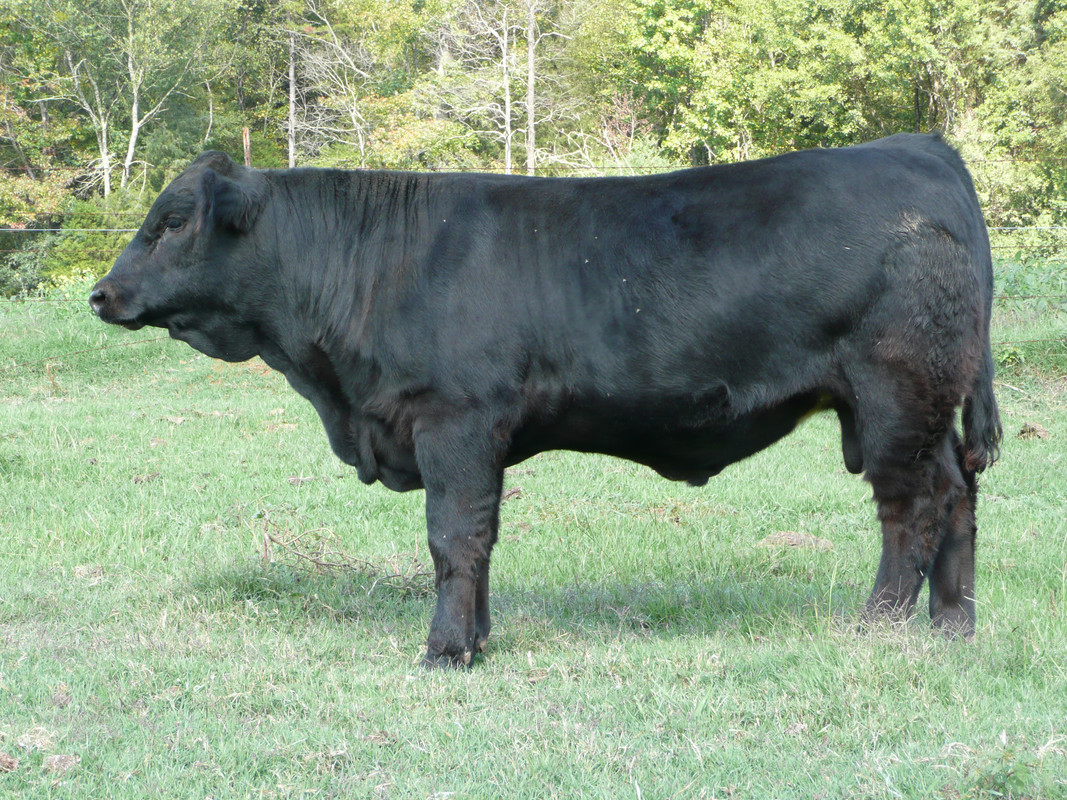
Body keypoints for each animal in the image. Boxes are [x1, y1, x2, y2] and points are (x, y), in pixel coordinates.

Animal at [90, 133, 1001, 668]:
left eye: (171, 221)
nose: (102, 294)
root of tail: (919, 146)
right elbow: (483, 540)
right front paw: (479, 637)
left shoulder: (454, 421)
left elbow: (454, 538)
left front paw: (447, 650)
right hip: (920, 407)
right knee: (958, 495)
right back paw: (952, 624)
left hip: (895, 398)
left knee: (913, 508)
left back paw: (880, 624)